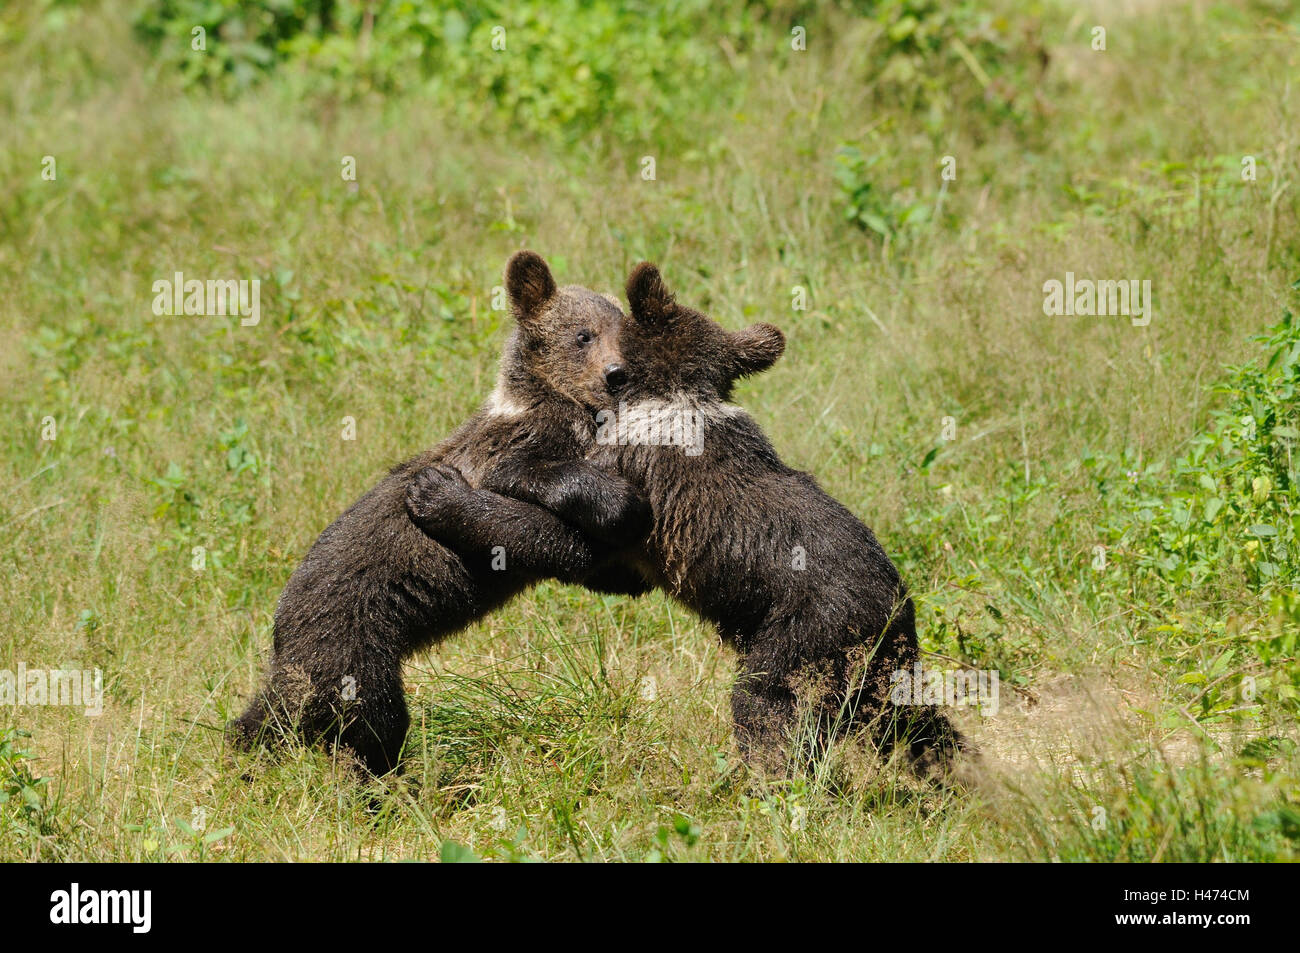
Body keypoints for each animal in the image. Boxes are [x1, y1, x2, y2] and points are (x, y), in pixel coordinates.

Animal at [228, 251, 651, 775]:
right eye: (583, 335)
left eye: (623, 333)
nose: (617, 374)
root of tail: (283, 633)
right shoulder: (516, 450)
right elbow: (541, 518)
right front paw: (621, 506)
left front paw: (626, 572)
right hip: (354, 644)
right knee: (375, 721)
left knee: (268, 718)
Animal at [405, 261, 968, 782]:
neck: (675, 398)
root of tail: (894, 607)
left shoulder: (628, 483)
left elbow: (570, 532)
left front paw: (441, 490)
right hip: (883, 670)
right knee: (920, 727)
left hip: (805, 637)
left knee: (769, 711)